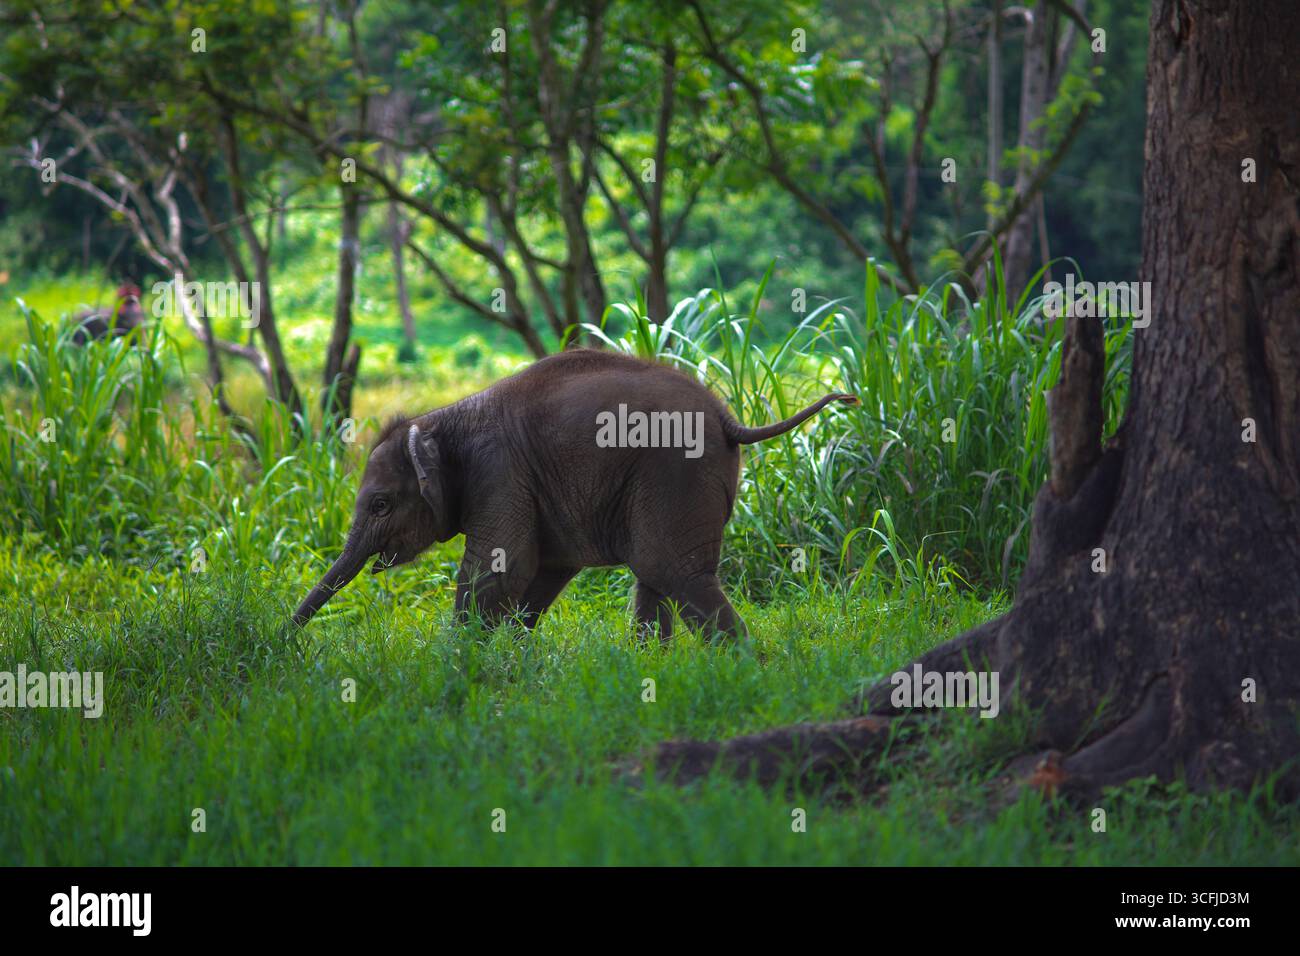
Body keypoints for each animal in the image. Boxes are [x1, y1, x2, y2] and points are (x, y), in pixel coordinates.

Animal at [292, 349, 857, 639]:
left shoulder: (500, 473)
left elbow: (497, 571)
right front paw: (504, 660)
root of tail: (728, 417)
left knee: (674, 571)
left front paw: (462, 666)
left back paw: (739, 666)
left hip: (675, 470)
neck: (440, 418)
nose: (288, 642)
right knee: (656, 573)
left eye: (380, 504)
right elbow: (542, 573)